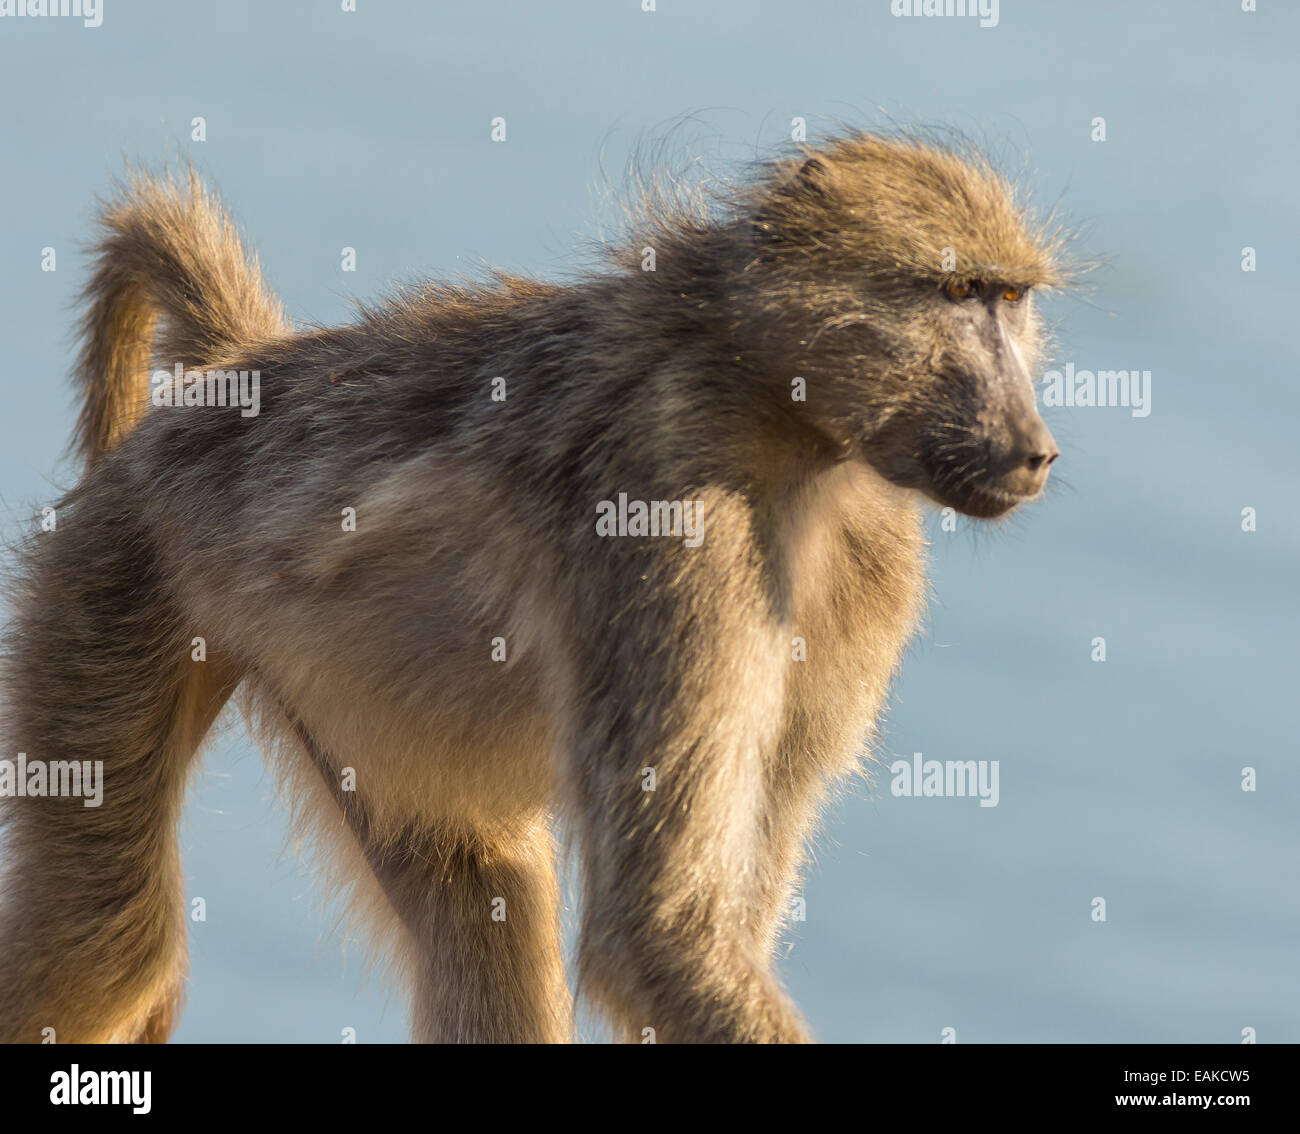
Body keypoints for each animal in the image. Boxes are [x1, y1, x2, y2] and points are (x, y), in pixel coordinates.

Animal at [0, 130, 1069, 1044]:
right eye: (957, 293)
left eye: (1011, 301)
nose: (1034, 450)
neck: (781, 415)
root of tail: (224, 391)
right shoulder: (675, 525)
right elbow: (657, 933)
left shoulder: (872, 572)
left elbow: (709, 921)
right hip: (116, 571)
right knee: (103, 942)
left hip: (347, 716)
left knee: (485, 912)